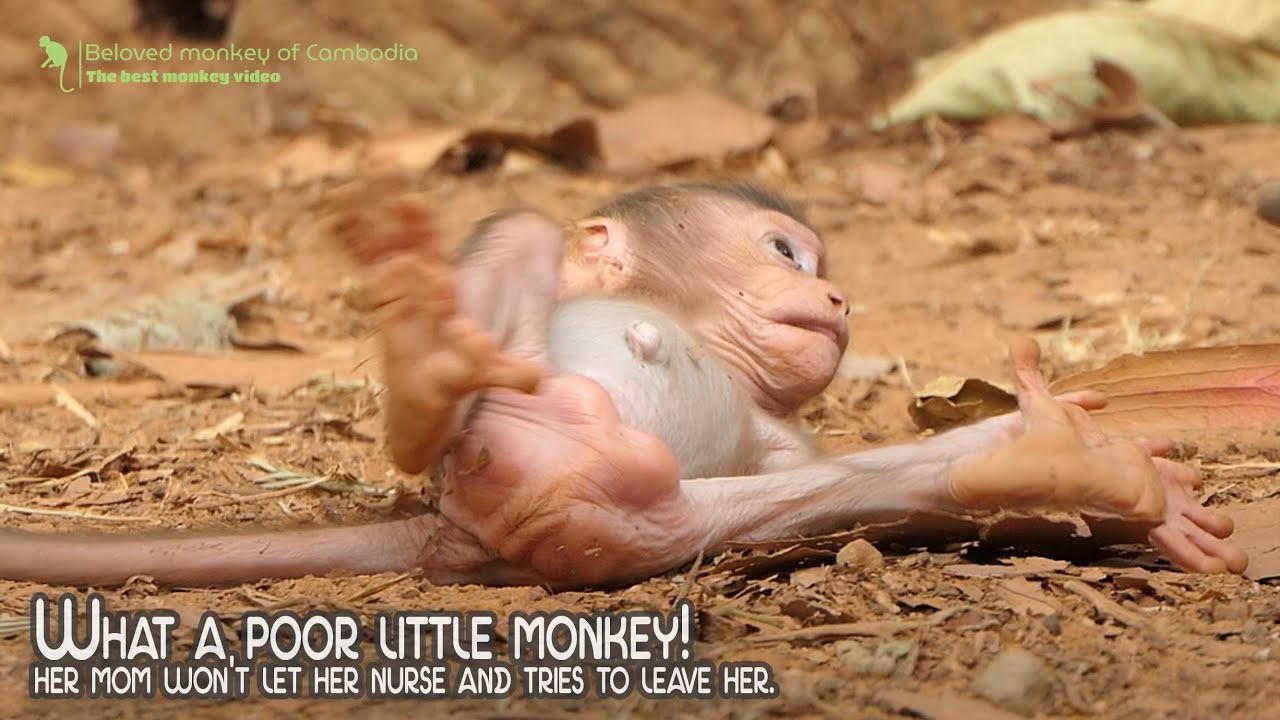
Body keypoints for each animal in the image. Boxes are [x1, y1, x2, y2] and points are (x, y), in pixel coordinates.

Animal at [0, 183, 1247, 587]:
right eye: (786, 254)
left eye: (820, 271)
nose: (838, 300)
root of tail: (455, 529)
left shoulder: (781, 441)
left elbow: (807, 472)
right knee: (508, 232)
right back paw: (441, 367)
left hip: (615, 499)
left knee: (666, 521)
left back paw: (1056, 461)